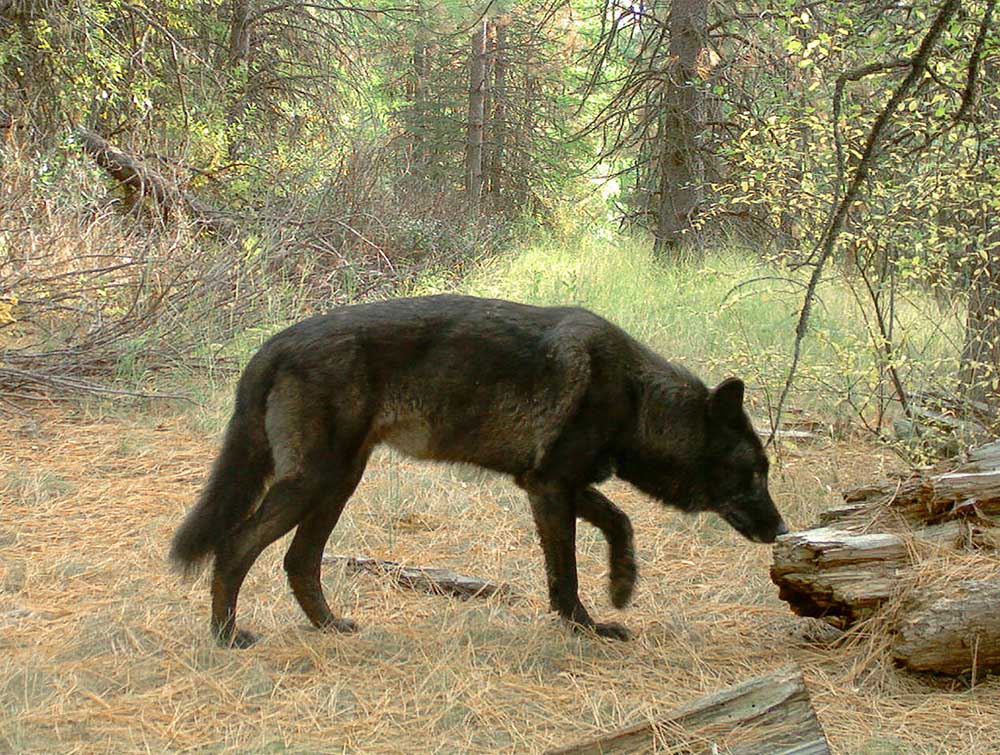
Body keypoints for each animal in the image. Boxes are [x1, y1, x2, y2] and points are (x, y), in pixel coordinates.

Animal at [170, 294, 787, 647]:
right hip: (312, 484)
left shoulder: (555, 484)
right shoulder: (551, 488)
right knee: (236, 546)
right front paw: (583, 627)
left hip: (339, 485)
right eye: (755, 472)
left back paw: (329, 627)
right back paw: (226, 636)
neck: (636, 399)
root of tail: (272, 344)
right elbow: (565, 573)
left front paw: (621, 582)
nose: (781, 530)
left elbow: (620, 522)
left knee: (299, 562)